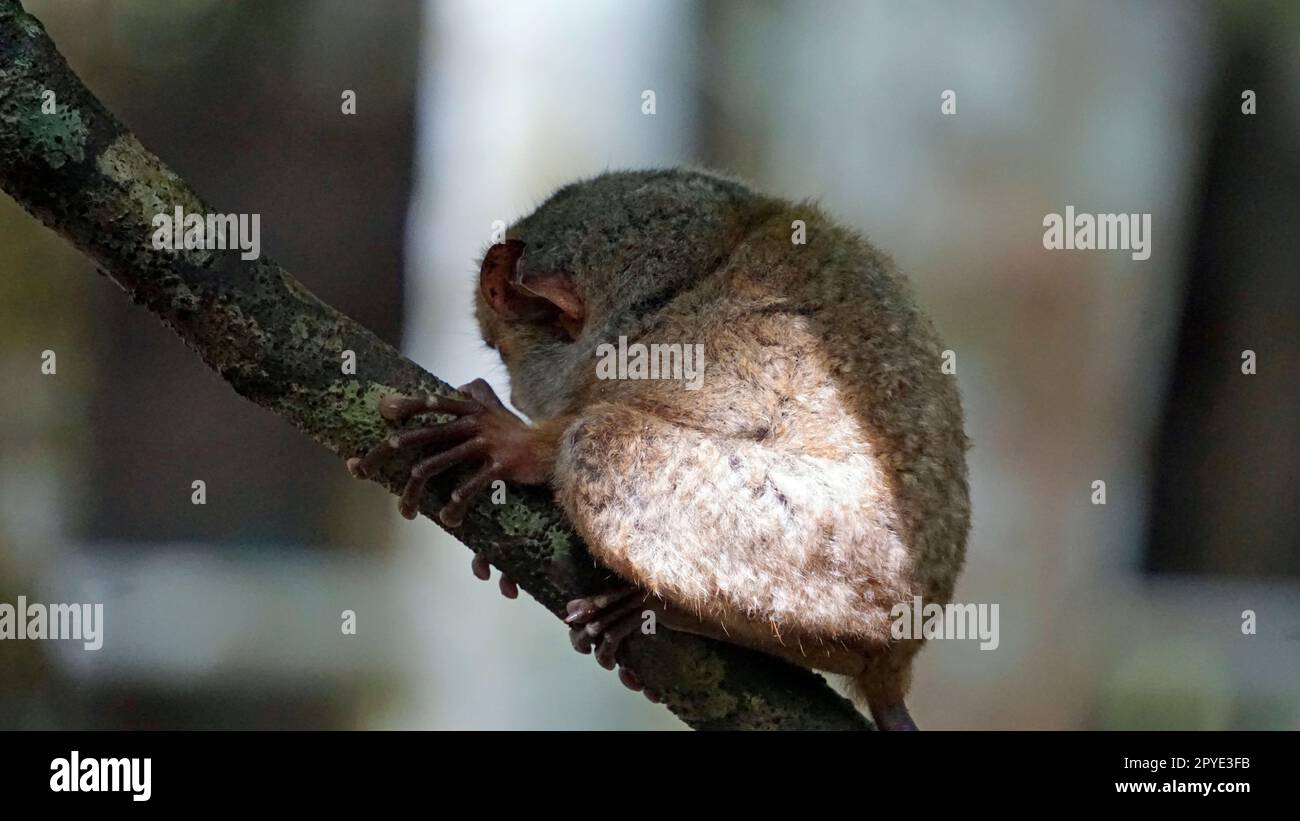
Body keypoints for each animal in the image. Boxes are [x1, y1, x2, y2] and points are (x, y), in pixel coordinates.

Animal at [346, 168, 970, 730]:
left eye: (502, 351)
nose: (521, 397)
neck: (687, 276)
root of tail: (902, 657)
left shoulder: (691, 344)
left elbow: (730, 409)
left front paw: (511, 443)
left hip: (844, 566)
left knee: (597, 443)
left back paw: (653, 608)